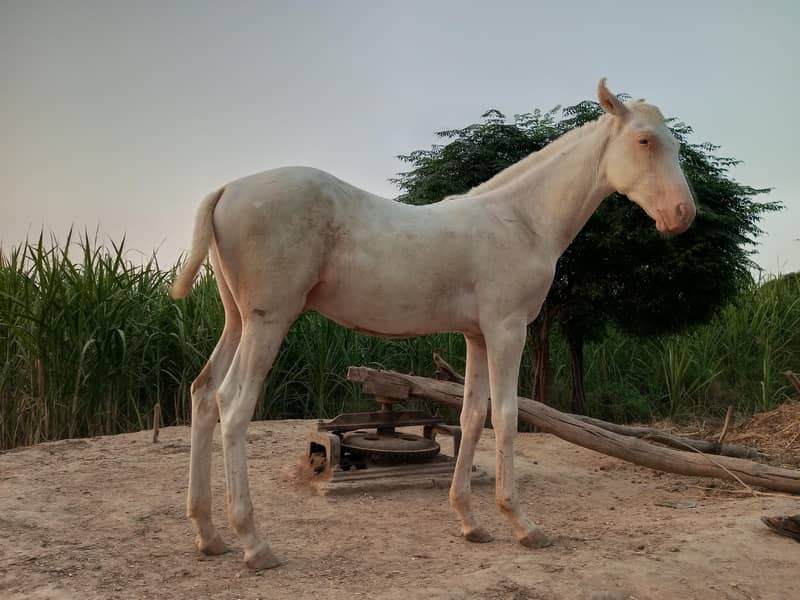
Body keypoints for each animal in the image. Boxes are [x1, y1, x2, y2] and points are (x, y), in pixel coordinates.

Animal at [171, 79, 696, 570]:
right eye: (645, 140)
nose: (682, 215)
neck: (521, 220)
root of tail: (227, 189)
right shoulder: (507, 331)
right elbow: (507, 416)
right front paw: (522, 525)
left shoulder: (477, 336)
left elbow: (472, 415)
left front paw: (469, 521)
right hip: (268, 324)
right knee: (233, 404)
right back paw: (254, 544)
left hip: (237, 322)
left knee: (203, 393)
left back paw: (208, 535)